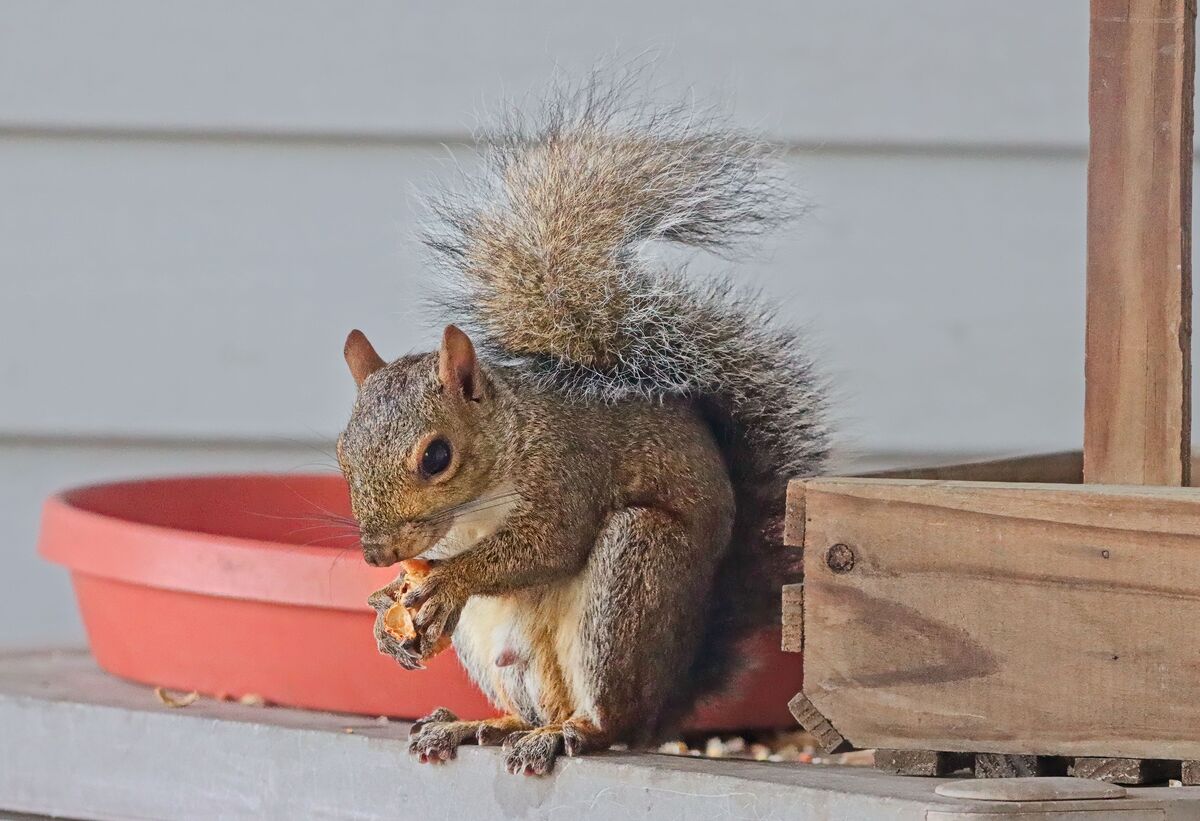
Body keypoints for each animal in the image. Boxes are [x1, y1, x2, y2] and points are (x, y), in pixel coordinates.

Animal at [336, 82, 829, 776]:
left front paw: (451, 581)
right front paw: (389, 614)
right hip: (499, 650)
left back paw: (572, 731)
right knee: (528, 706)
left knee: (607, 719)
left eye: (437, 457)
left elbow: (549, 545)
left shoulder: (570, 474)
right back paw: (477, 724)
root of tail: (668, 701)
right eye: (341, 455)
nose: (377, 554)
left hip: (634, 572)